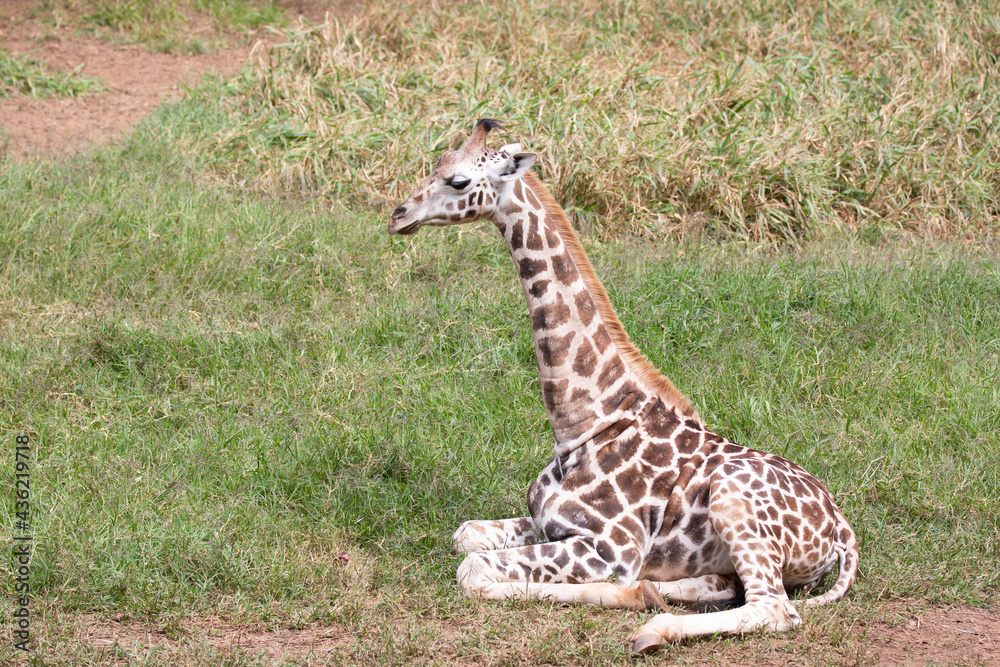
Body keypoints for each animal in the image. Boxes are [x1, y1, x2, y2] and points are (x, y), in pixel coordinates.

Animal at [387, 119, 859, 653]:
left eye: (459, 180)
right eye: (437, 163)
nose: (398, 216)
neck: (583, 421)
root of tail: (841, 527)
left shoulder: (612, 548)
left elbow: (472, 570)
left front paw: (632, 594)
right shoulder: (549, 524)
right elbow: (464, 535)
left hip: (733, 500)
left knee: (774, 608)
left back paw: (653, 624)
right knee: (728, 586)